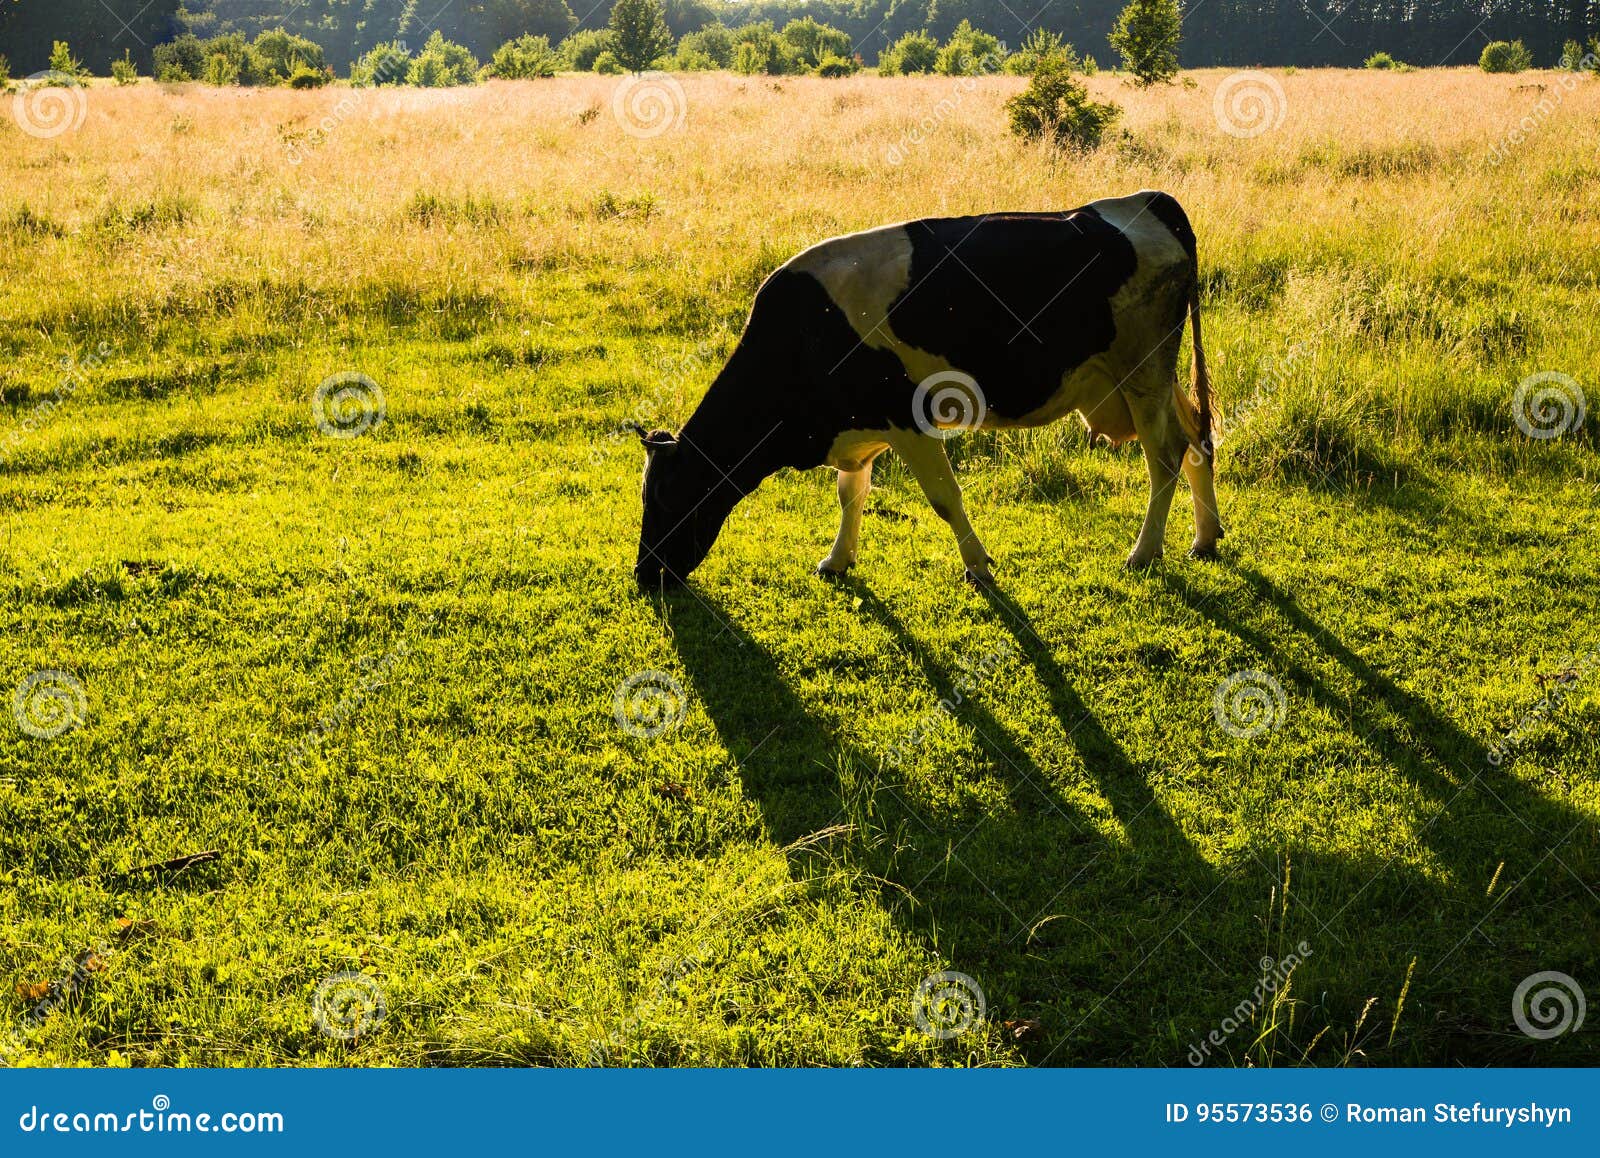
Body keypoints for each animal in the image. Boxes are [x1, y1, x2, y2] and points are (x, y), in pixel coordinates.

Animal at [632, 189, 1221, 588]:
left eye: (663, 495)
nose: (644, 575)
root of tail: (1149, 200)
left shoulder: (907, 418)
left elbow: (943, 497)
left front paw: (978, 566)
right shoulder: (862, 424)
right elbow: (850, 493)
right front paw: (838, 559)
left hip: (1141, 370)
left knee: (1165, 458)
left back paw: (1143, 553)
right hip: (1154, 376)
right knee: (1197, 442)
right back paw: (1205, 538)